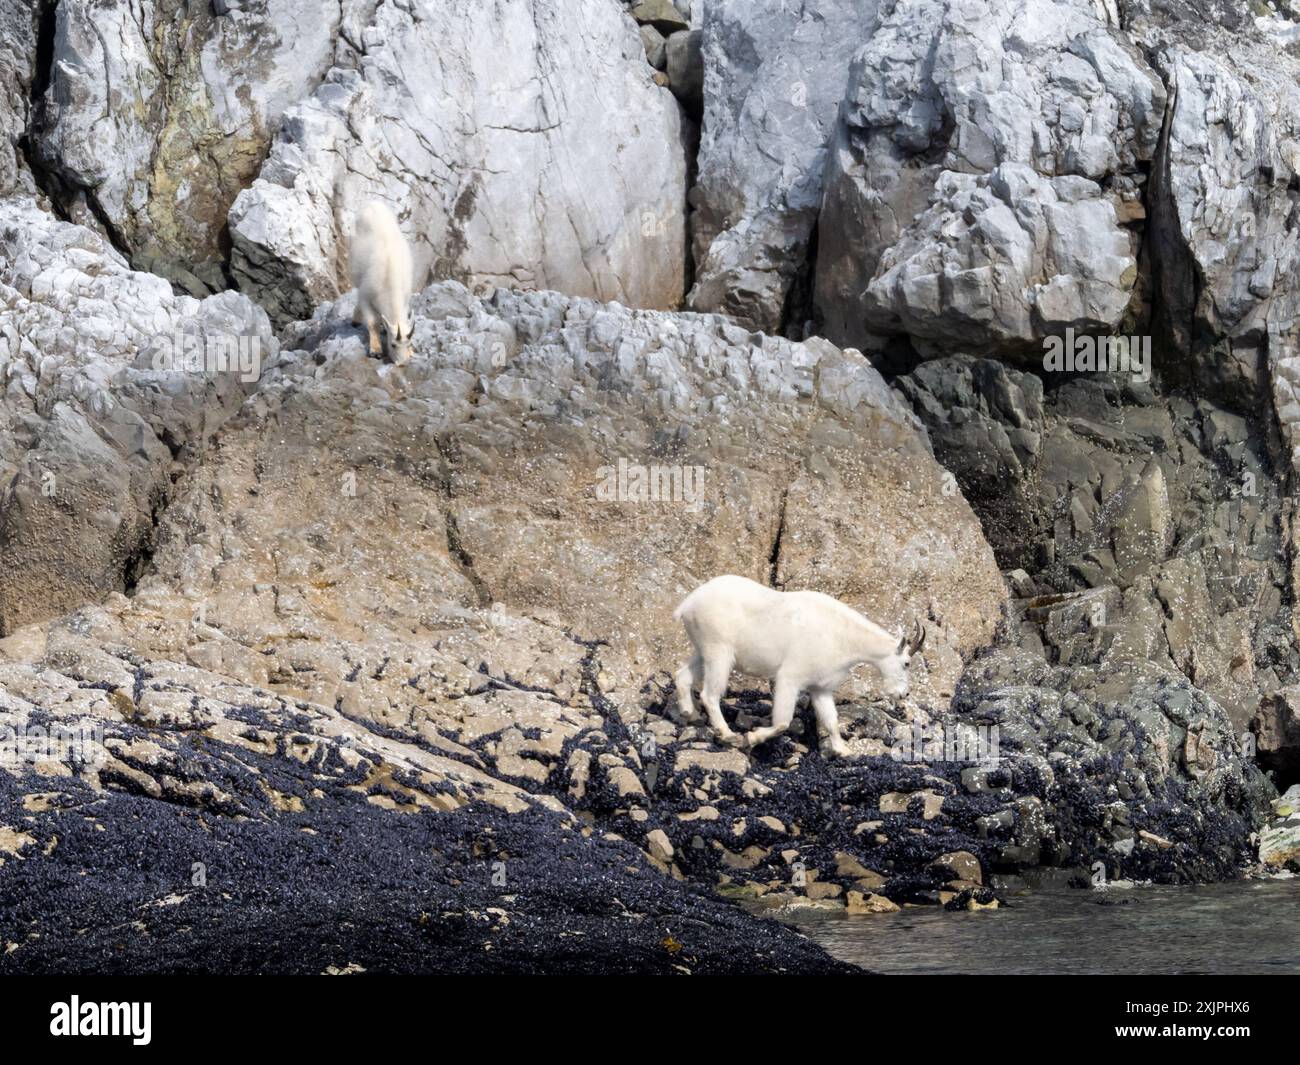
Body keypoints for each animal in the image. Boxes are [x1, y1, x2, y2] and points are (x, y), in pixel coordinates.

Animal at [349, 201, 414, 364]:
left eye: (409, 343)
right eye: (393, 344)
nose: (401, 363)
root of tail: (372, 203)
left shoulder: (405, 299)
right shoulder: (366, 296)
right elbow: (372, 322)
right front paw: (376, 350)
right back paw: (355, 320)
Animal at [672, 574, 925, 757]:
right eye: (906, 663)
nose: (903, 694)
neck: (844, 636)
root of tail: (688, 604)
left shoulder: (821, 688)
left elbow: (831, 720)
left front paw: (844, 751)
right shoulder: (790, 678)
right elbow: (783, 722)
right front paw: (752, 737)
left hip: (702, 647)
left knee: (682, 674)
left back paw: (688, 712)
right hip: (719, 649)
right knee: (710, 694)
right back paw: (727, 733)